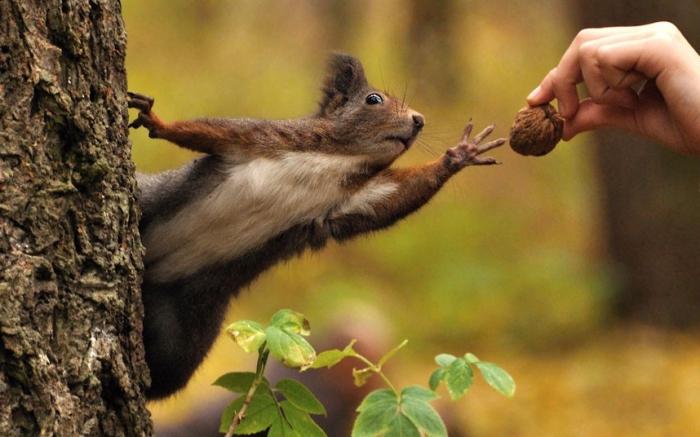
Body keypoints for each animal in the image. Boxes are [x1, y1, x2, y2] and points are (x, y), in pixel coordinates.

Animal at [129, 52, 506, 398]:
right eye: (373, 99)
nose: (419, 120)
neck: (338, 160)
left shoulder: (347, 203)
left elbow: (394, 199)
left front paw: (458, 156)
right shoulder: (258, 137)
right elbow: (205, 131)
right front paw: (157, 121)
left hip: (185, 326)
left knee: (165, 376)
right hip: (151, 203)